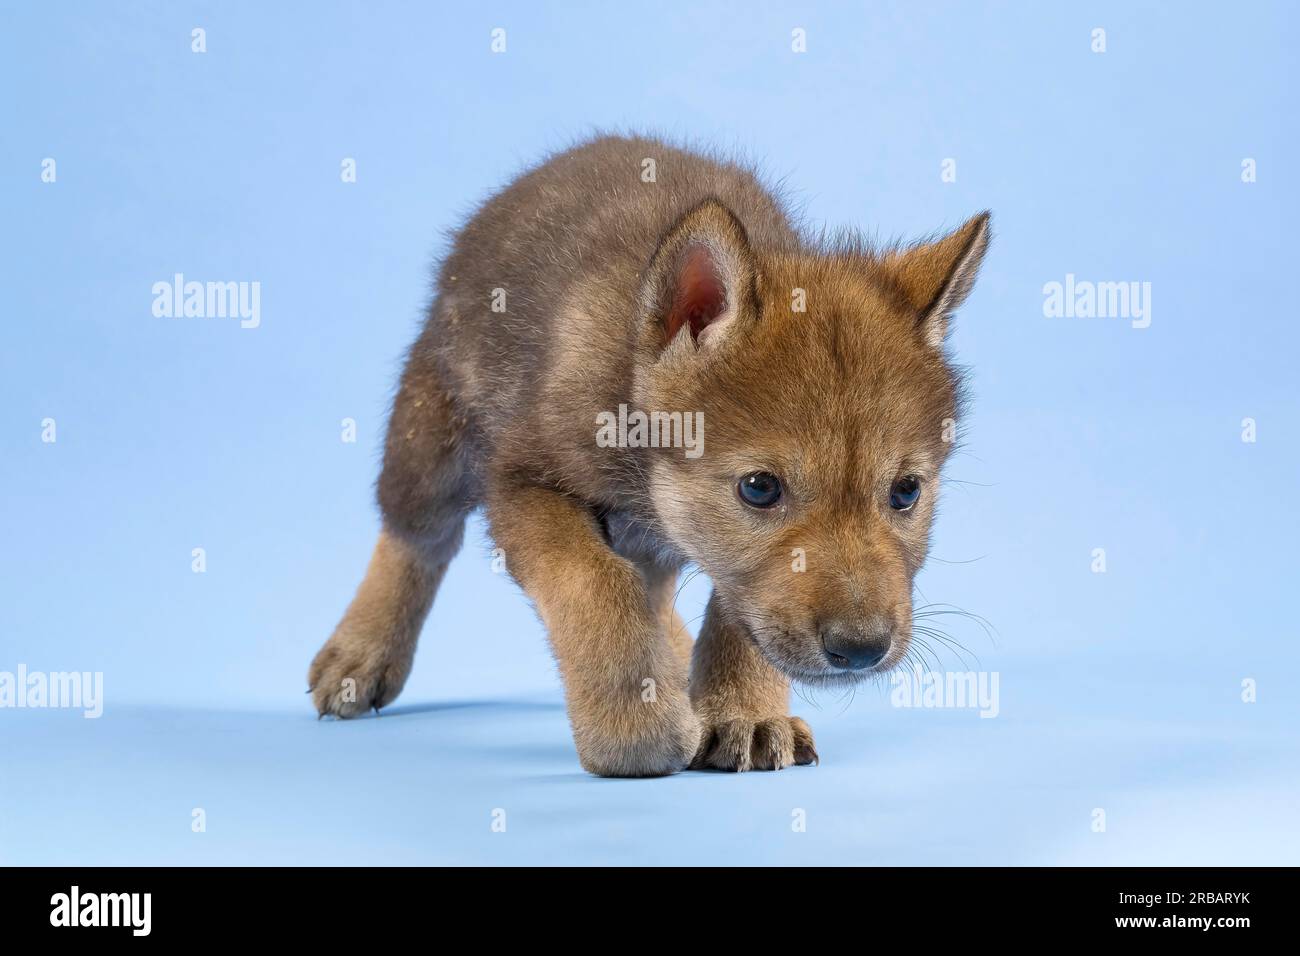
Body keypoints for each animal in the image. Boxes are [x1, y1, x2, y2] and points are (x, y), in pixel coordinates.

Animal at [308, 135, 990, 777]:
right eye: (760, 488)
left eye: (905, 492)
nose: (862, 648)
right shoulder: (523, 482)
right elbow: (593, 581)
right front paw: (633, 727)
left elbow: (731, 608)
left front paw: (744, 714)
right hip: (430, 438)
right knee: (414, 537)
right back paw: (360, 652)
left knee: (655, 593)